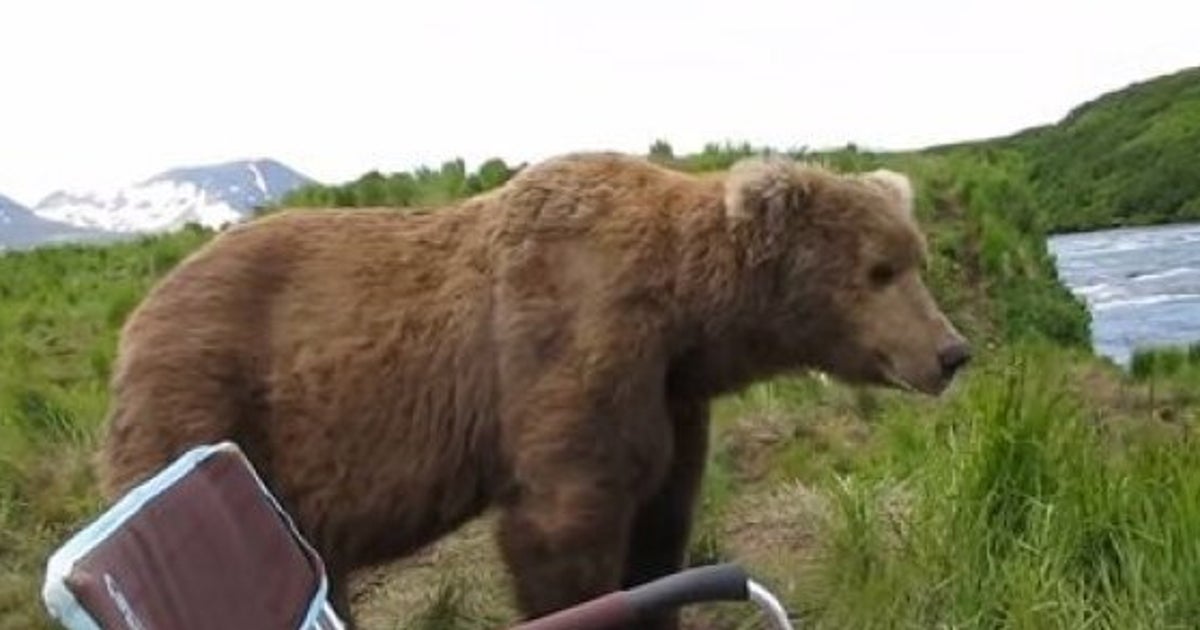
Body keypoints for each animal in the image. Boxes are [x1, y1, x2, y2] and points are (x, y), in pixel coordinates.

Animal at [96, 151, 970, 629]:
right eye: (879, 270)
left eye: (915, 258)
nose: (951, 351)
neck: (686, 317)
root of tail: (135, 318)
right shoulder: (568, 343)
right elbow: (561, 530)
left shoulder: (672, 397)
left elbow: (660, 526)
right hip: (207, 404)